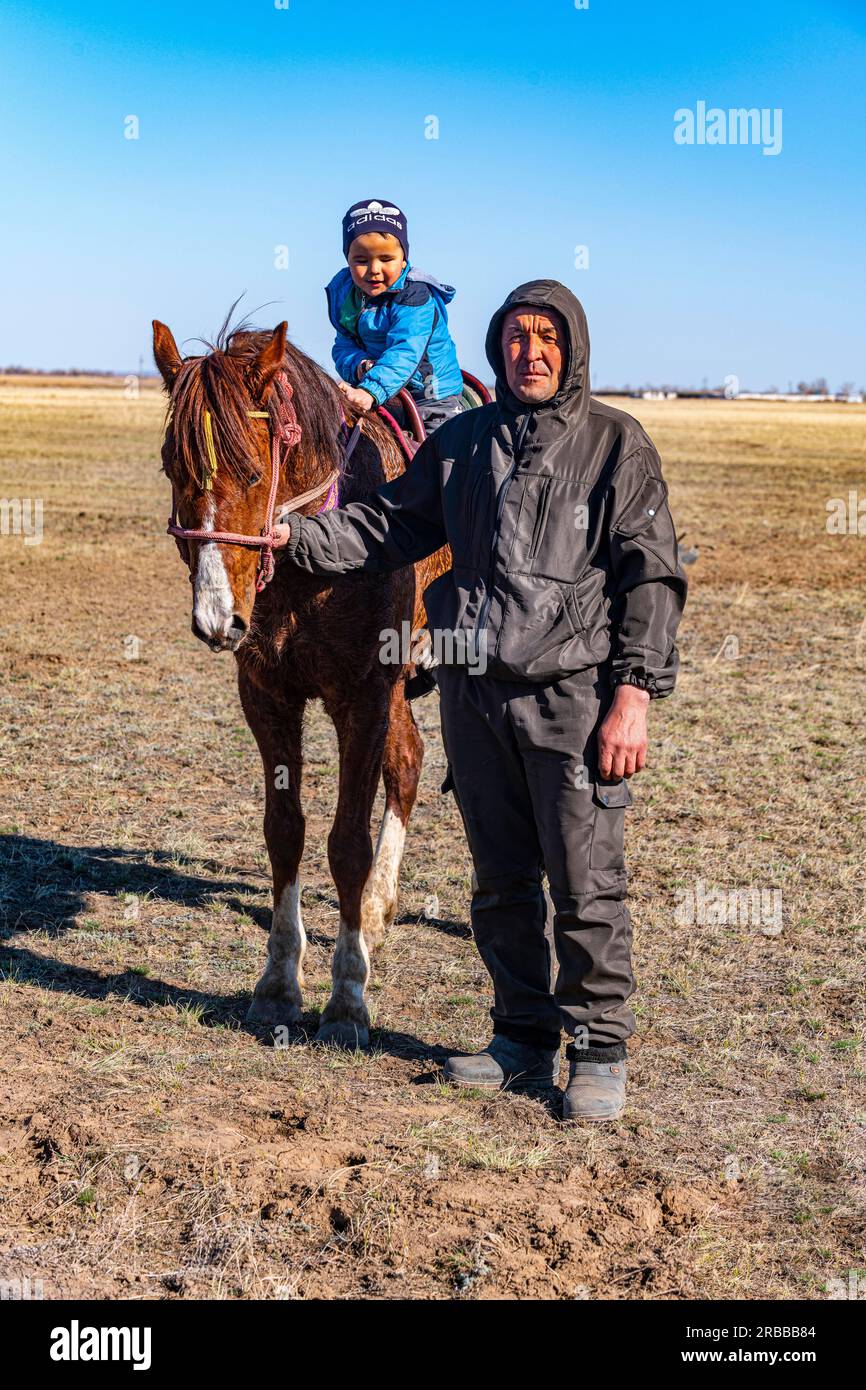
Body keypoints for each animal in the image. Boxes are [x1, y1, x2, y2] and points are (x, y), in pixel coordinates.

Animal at [152, 314, 448, 1047]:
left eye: (255, 471)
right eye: (174, 468)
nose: (215, 619)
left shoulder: (363, 697)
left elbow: (346, 844)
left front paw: (347, 999)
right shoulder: (267, 696)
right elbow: (284, 830)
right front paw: (279, 983)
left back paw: (373, 908)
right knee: (409, 758)